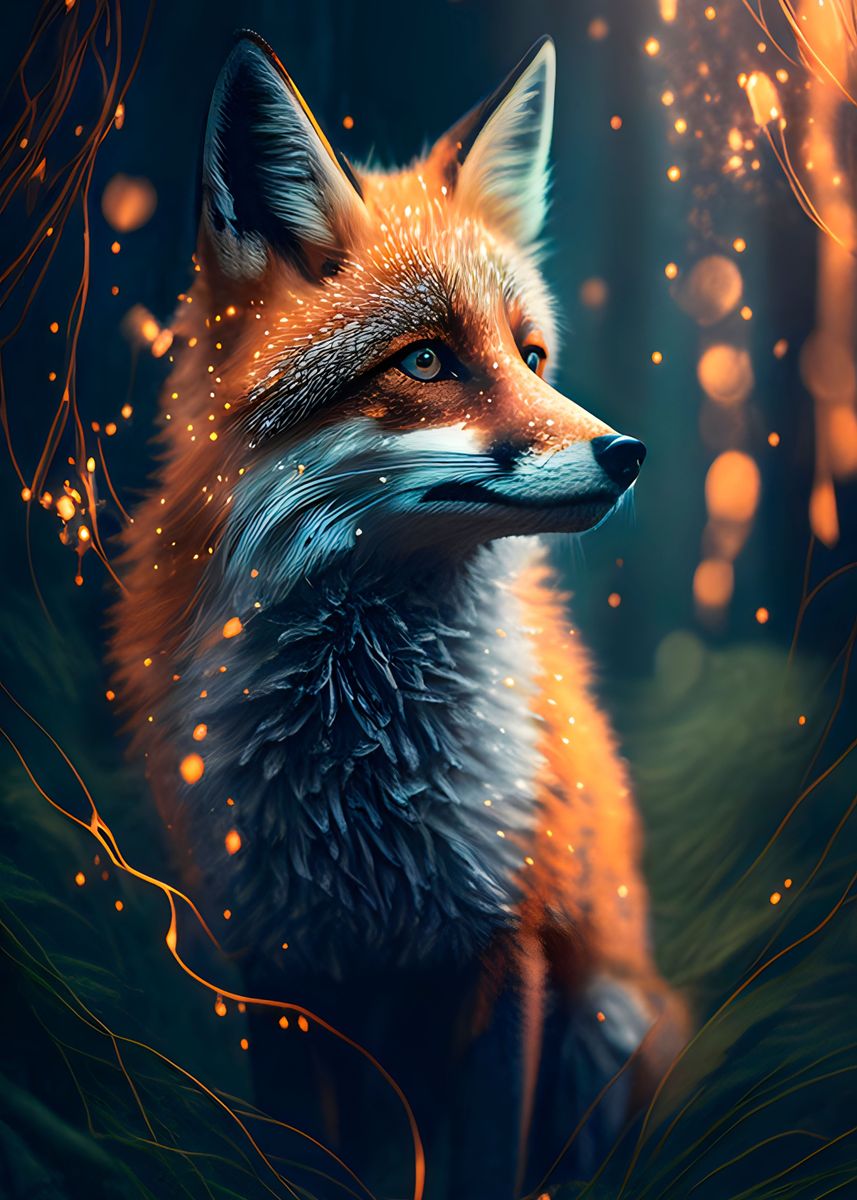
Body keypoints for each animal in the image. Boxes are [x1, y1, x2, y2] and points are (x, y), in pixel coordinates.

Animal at [110, 31, 687, 1199]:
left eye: (530, 355)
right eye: (426, 359)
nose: (627, 454)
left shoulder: (505, 943)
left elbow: (487, 1165)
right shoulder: (279, 970)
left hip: (605, 1019)